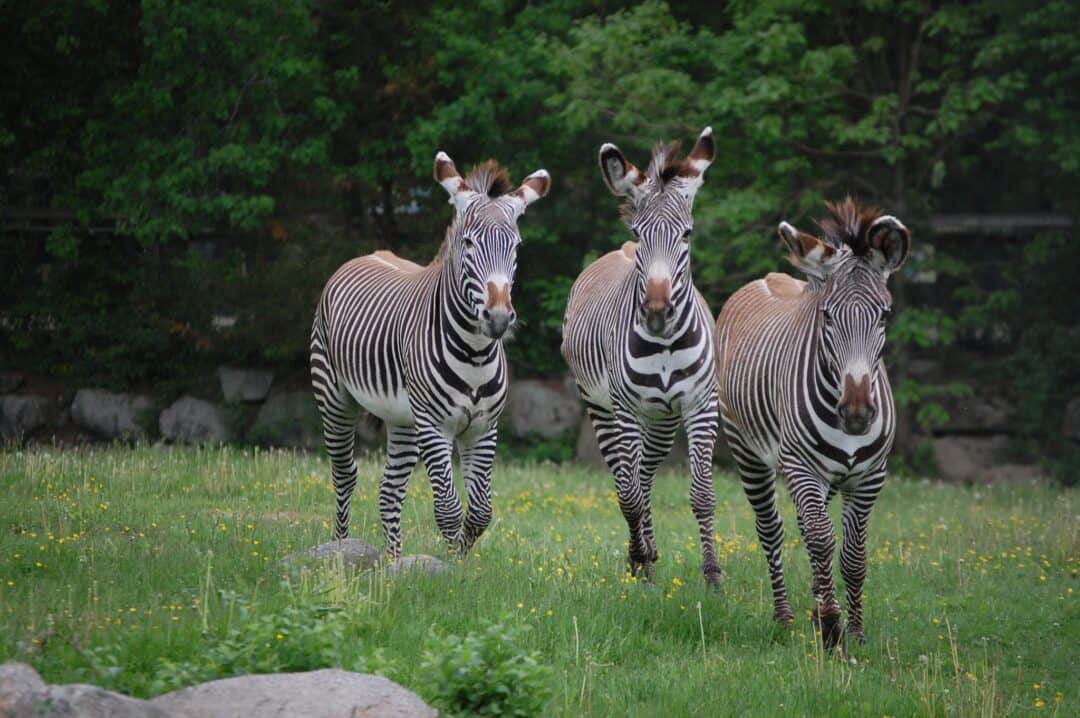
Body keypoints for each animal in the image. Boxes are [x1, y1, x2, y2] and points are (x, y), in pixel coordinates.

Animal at [310, 152, 550, 559]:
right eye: (468, 243)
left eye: (516, 247)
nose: (499, 318)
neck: (474, 355)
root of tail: (369, 254)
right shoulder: (435, 426)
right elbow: (448, 507)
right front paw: (451, 565)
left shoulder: (483, 428)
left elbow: (481, 511)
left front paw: (462, 561)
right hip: (335, 397)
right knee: (344, 475)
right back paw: (341, 551)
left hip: (403, 419)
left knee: (389, 492)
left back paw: (394, 562)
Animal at [561, 128, 722, 586]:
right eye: (639, 232)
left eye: (688, 234)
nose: (656, 311)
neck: (664, 345)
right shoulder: (626, 409)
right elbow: (629, 495)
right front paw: (638, 559)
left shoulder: (701, 405)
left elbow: (702, 494)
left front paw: (712, 575)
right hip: (600, 407)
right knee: (626, 480)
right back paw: (642, 558)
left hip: (663, 418)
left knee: (646, 475)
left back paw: (651, 552)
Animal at [714, 198, 910, 647]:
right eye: (827, 316)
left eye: (884, 316)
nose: (857, 411)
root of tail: (767, 277)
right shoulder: (803, 469)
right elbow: (821, 540)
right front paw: (833, 627)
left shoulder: (870, 477)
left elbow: (853, 554)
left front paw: (855, 632)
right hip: (748, 451)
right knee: (772, 529)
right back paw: (785, 618)